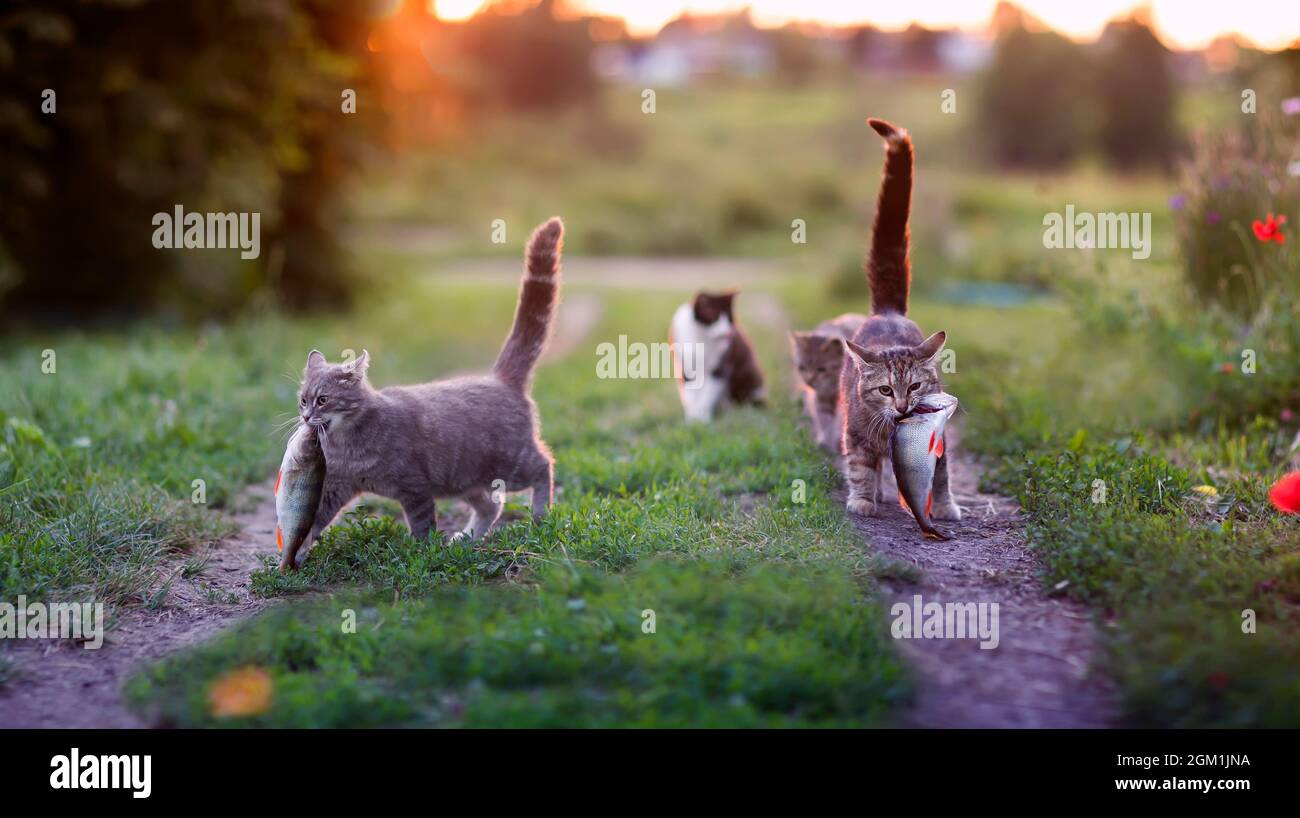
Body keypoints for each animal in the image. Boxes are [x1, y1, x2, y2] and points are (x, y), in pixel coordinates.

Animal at [289, 215, 564, 567]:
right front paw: (294, 556)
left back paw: (541, 515)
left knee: (545, 466)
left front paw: (418, 552)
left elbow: (421, 524)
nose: (306, 417)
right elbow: (313, 522)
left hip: (513, 463)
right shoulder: (336, 486)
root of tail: (499, 378)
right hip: (466, 479)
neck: (349, 446)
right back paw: (467, 539)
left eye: (323, 400)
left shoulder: (414, 488)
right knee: (492, 505)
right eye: (303, 401)